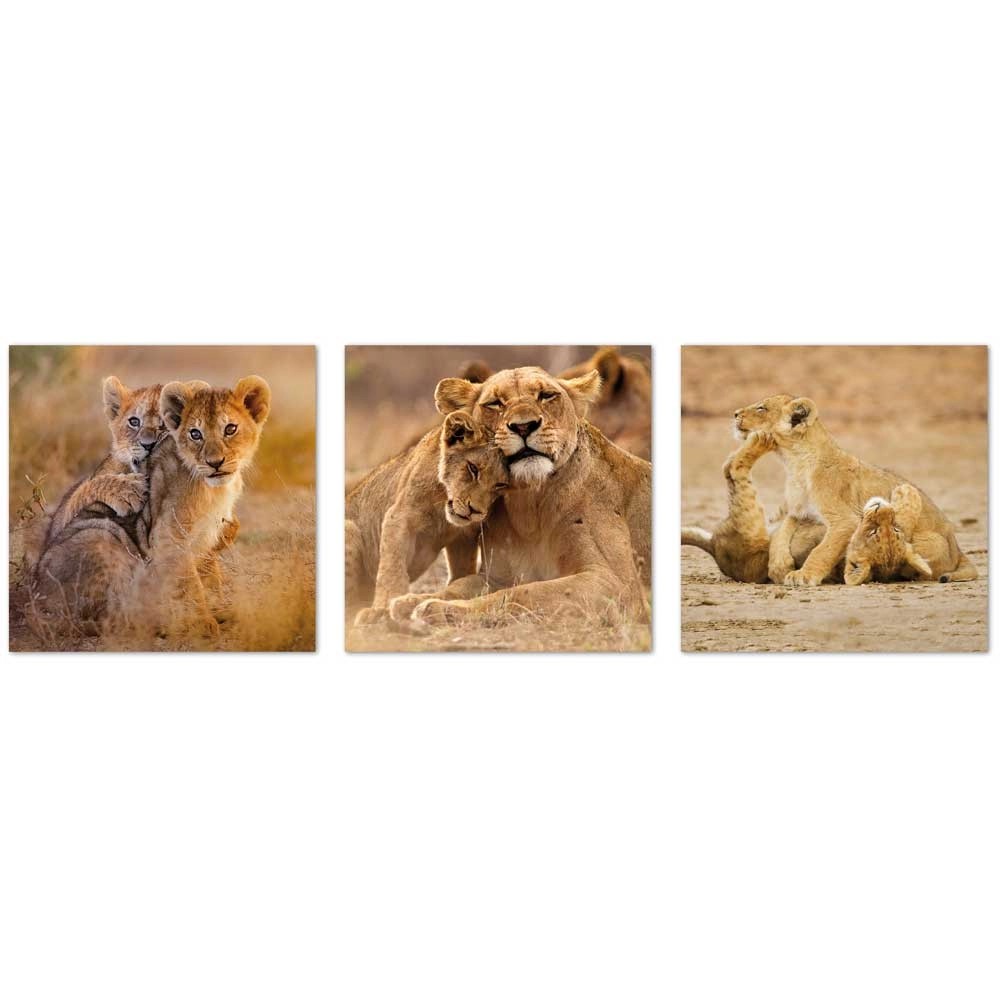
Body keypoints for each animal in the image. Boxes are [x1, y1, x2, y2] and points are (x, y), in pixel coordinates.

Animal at [347, 410, 510, 625]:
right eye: (473, 468)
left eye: (500, 485)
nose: (474, 510)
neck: (442, 501)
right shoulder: (398, 517)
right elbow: (392, 568)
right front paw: (381, 608)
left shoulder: (464, 536)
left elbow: (462, 571)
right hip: (348, 528)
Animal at [396, 365, 651, 626]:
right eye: (495, 403)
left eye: (547, 395)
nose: (524, 426)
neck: (530, 506)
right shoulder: (496, 576)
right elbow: (460, 585)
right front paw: (411, 601)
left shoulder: (615, 584)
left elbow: (523, 592)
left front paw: (439, 609)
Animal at [732, 395, 977, 587]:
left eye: (761, 408)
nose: (734, 414)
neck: (793, 463)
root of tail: (958, 548)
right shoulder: (798, 511)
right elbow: (782, 533)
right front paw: (779, 566)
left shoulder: (844, 519)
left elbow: (823, 549)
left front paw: (804, 575)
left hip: (931, 541)